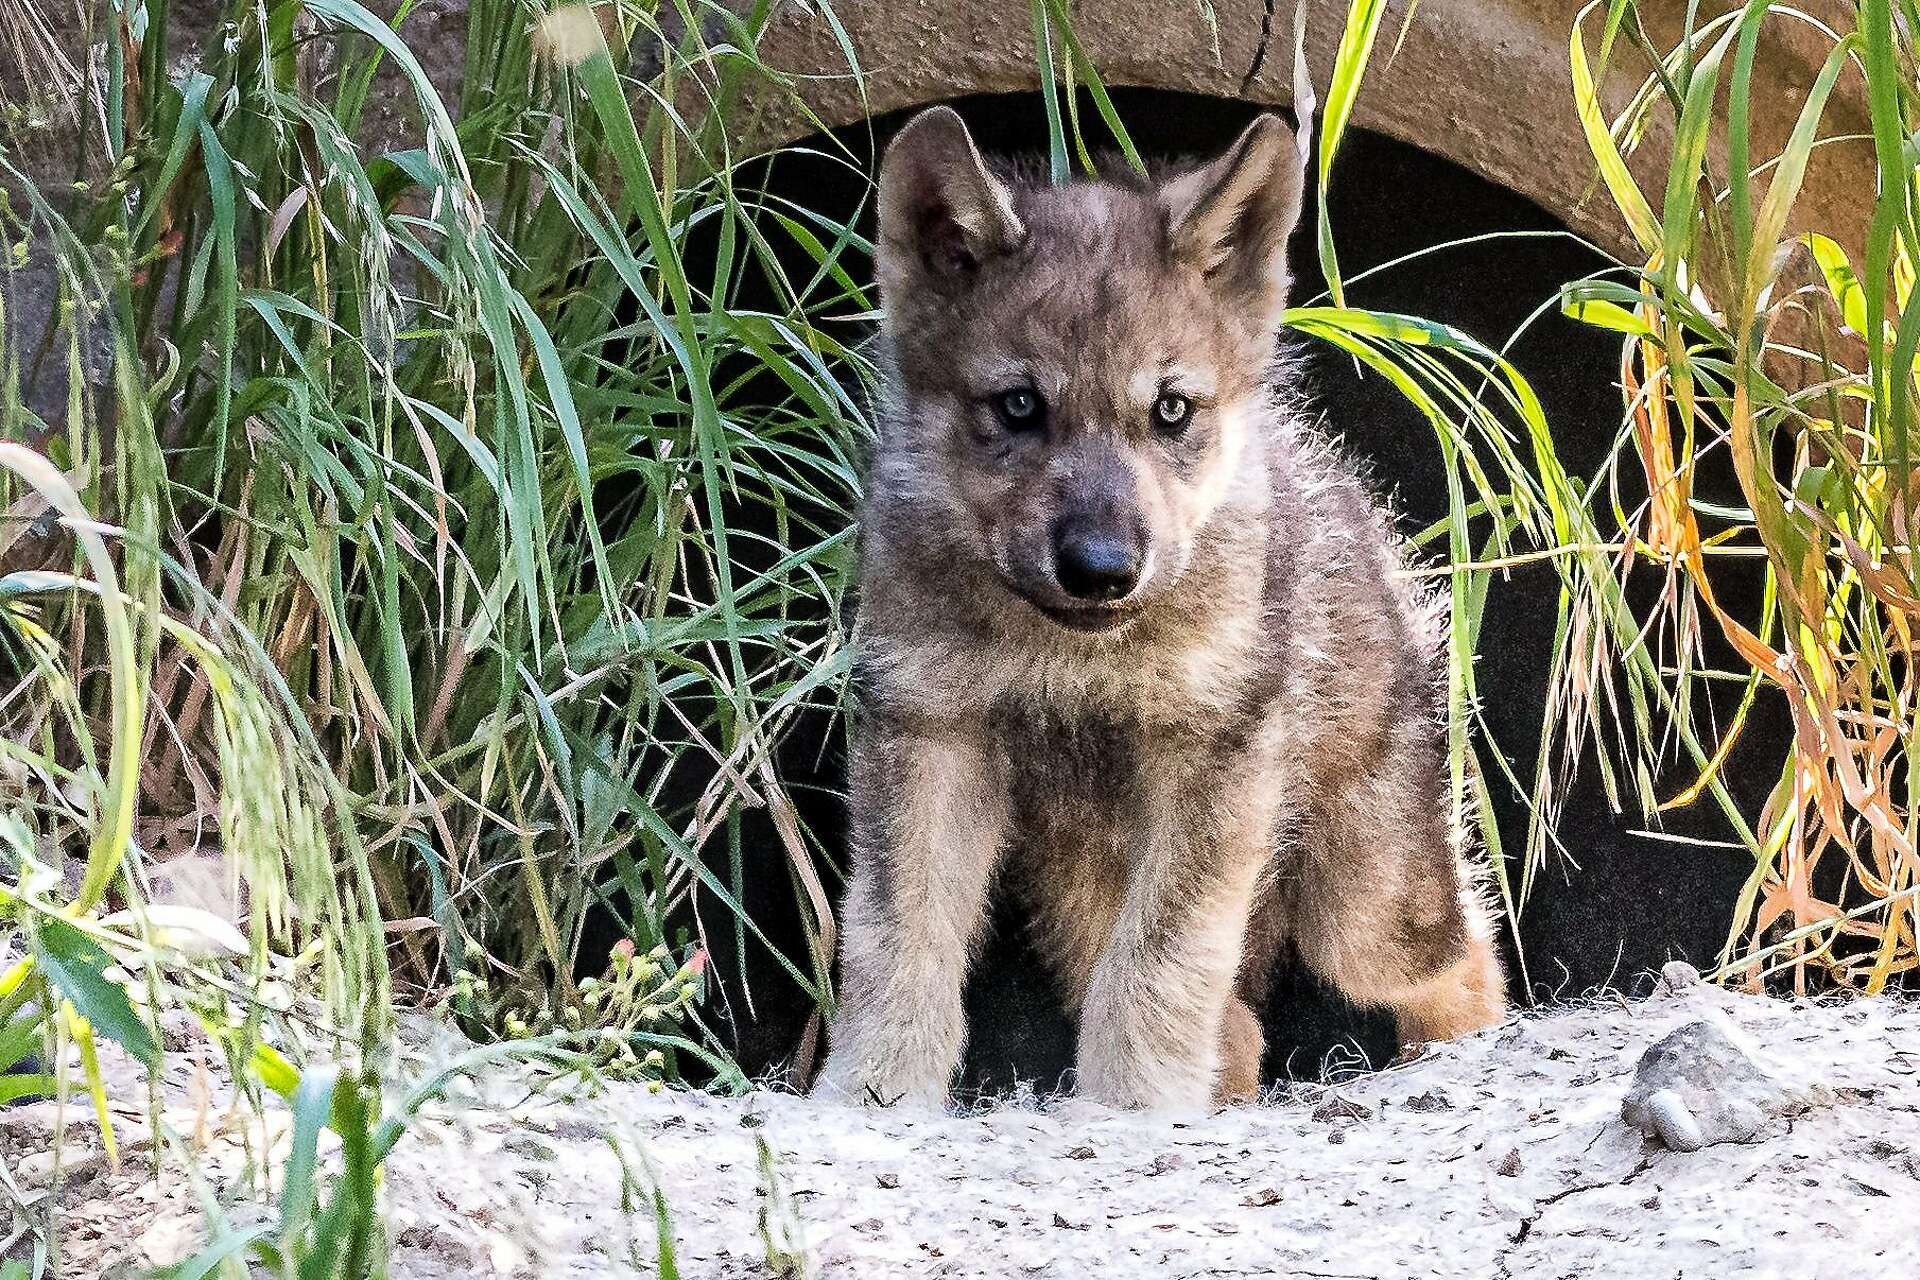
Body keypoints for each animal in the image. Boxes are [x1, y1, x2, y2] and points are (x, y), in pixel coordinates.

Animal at [813, 106, 1506, 1111]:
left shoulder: (1214, 758)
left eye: (1172, 411)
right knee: (1240, 1029)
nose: (1102, 570)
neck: (1069, 660)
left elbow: (1159, 965)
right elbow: (897, 945)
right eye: (1018, 406)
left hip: (1366, 903)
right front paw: (874, 1095)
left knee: (1463, 962)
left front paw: (1135, 1107)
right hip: (1081, 892)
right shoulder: (931, 734)